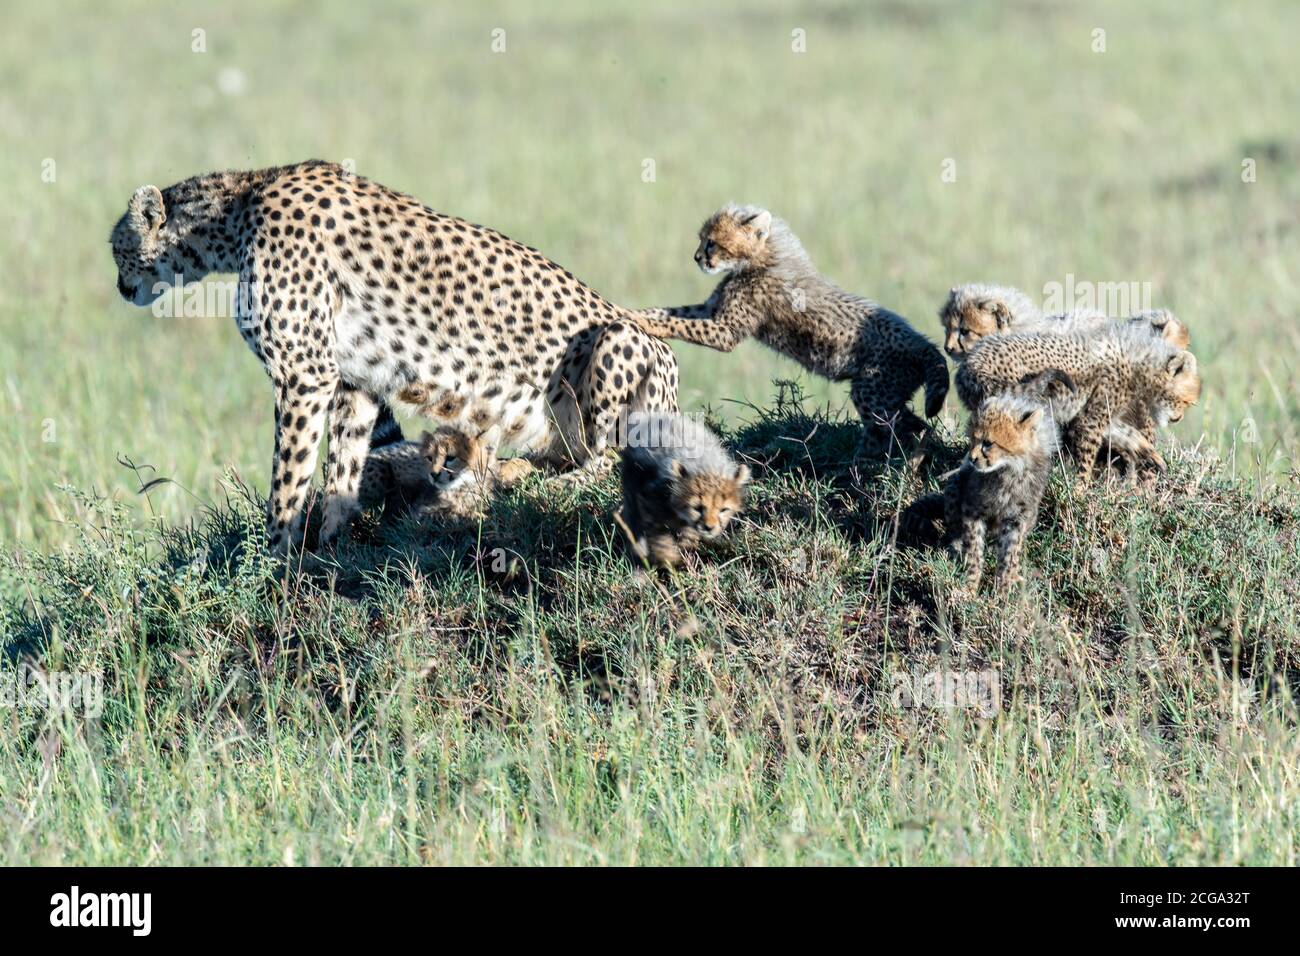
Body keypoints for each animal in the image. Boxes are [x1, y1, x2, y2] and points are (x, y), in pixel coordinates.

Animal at [110, 161, 678, 553]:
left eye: (116, 248)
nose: (119, 288)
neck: (235, 214)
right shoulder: (352, 382)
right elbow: (342, 467)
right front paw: (333, 544)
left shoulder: (303, 375)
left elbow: (288, 476)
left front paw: (275, 557)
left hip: (618, 341)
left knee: (609, 462)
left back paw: (539, 485)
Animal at [631, 203, 949, 457]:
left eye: (711, 243)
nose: (697, 258)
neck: (758, 260)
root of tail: (923, 341)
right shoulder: (710, 309)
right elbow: (672, 312)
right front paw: (632, 313)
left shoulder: (725, 331)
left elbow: (678, 323)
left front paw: (644, 322)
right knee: (910, 425)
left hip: (872, 391)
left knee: (907, 427)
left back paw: (869, 461)